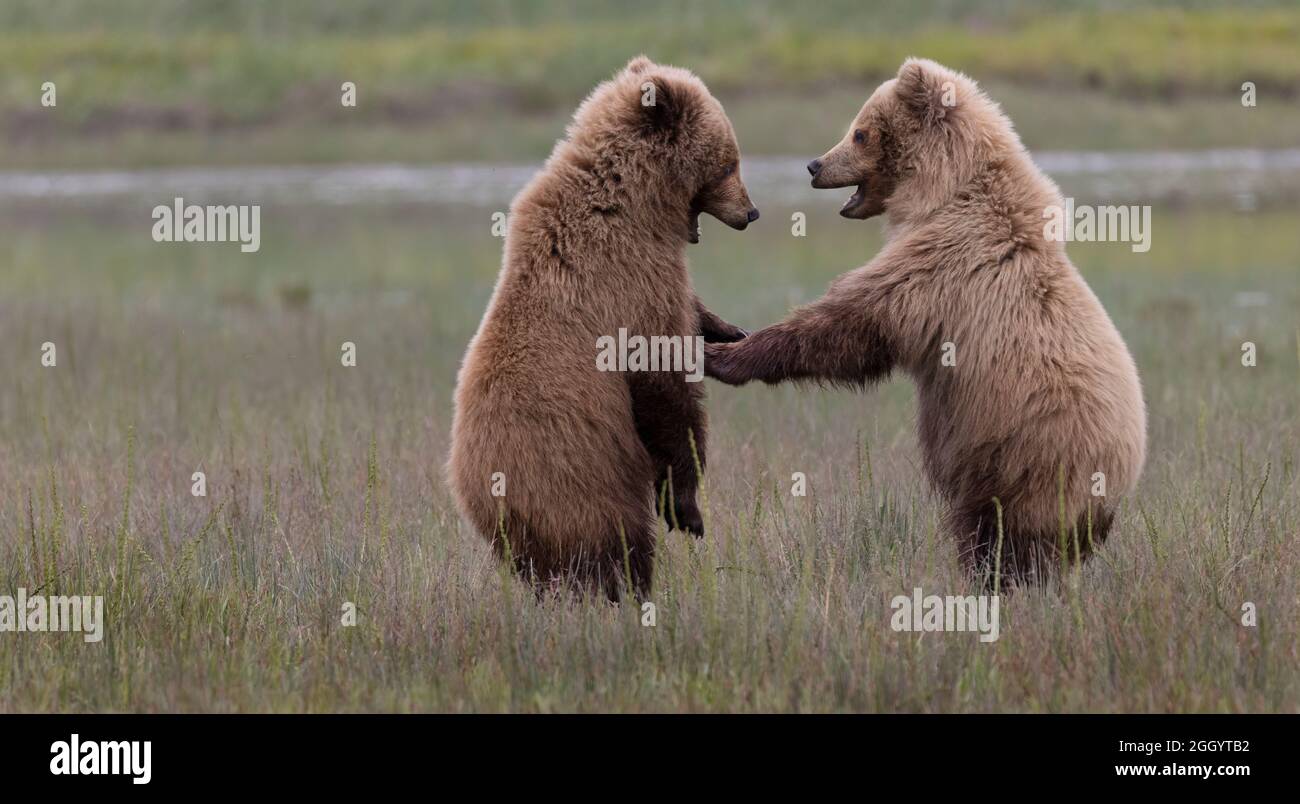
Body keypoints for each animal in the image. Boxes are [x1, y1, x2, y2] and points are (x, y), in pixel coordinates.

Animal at [448, 56, 759, 600]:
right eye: (729, 164)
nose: (751, 211)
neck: (641, 206)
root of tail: (474, 491)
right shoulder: (629, 281)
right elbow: (663, 389)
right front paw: (687, 509)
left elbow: (688, 316)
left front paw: (728, 328)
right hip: (581, 480)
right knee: (617, 543)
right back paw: (633, 590)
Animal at [705, 58, 1147, 586]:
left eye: (859, 132)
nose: (813, 165)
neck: (944, 193)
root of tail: (1122, 478)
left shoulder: (940, 265)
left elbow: (855, 322)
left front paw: (724, 355)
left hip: (1023, 454)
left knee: (999, 532)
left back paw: (992, 579)